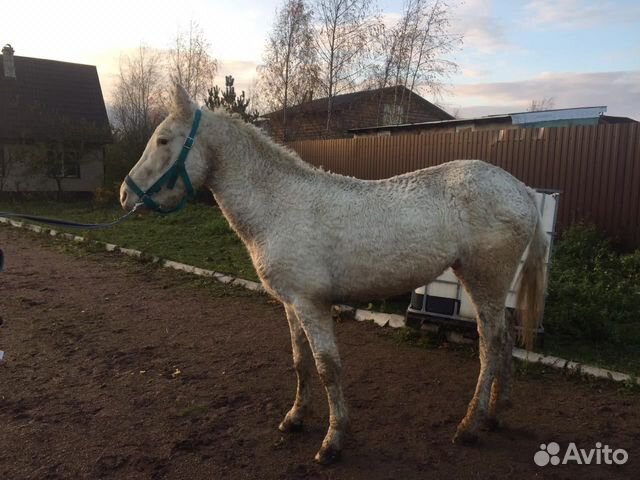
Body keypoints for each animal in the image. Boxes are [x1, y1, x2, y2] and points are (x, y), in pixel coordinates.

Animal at [120, 84, 547, 464]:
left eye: (162, 140)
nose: (125, 195)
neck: (279, 203)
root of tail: (524, 191)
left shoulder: (312, 305)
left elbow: (328, 367)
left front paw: (333, 441)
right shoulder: (292, 305)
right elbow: (300, 361)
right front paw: (295, 418)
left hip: (484, 281)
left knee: (491, 345)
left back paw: (469, 426)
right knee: (506, 340)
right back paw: (495, 414)